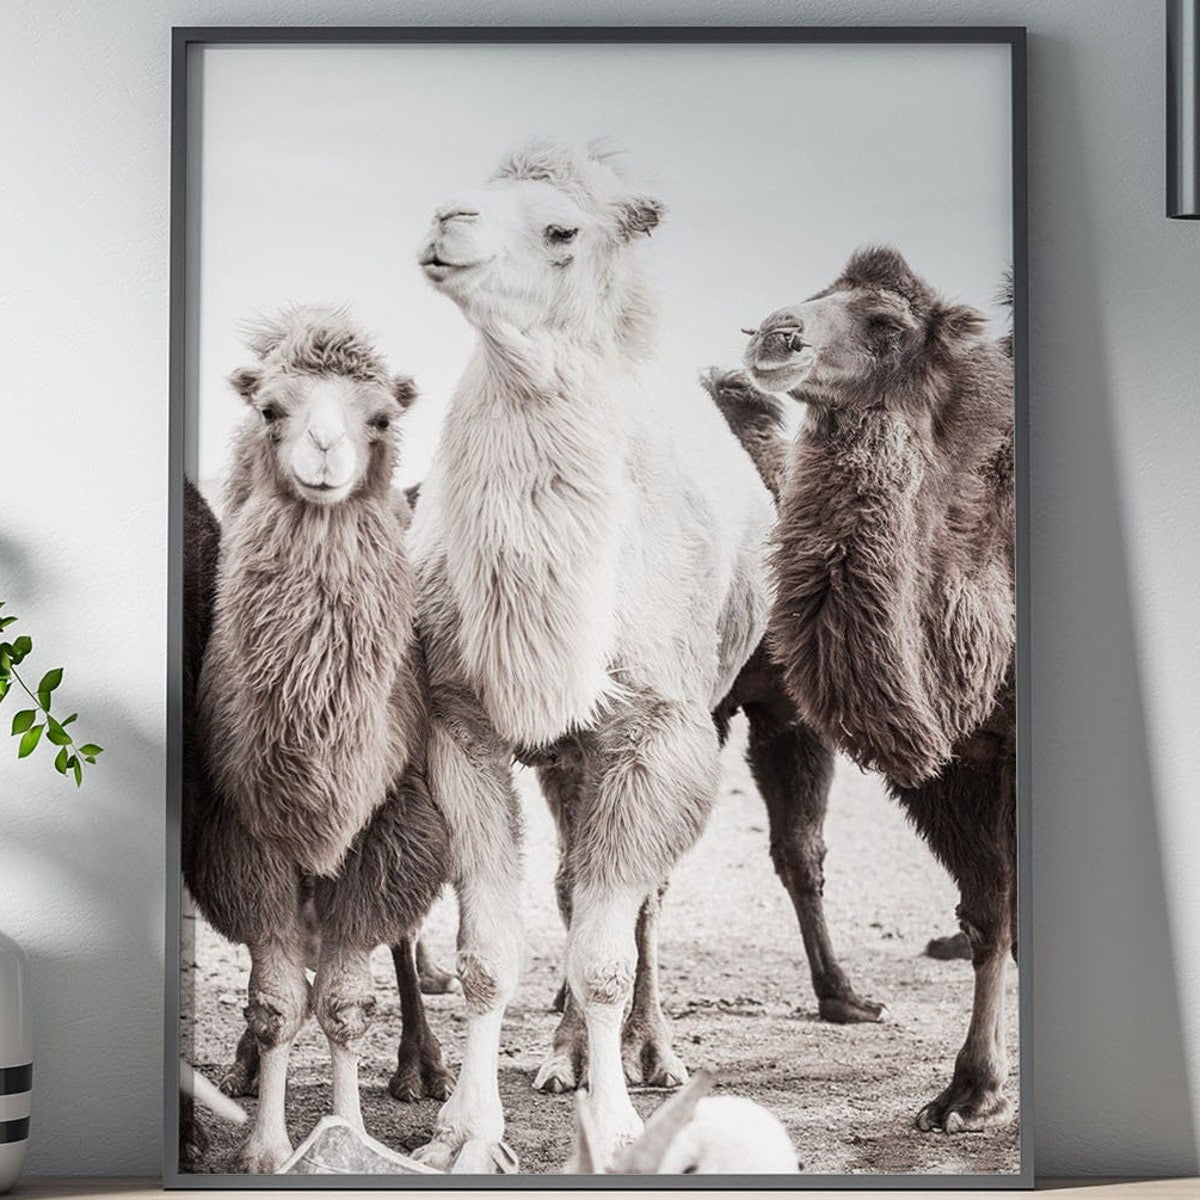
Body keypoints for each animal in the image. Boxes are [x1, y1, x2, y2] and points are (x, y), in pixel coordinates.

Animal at [184, 307, 451, 1172]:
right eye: (273, 409)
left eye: (381, 417)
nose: (327, 450)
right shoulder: (239, 833)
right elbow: (275, 1006)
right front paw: (265, 1148)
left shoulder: (390, 823)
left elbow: (343, 1005)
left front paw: (351, 1134)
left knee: (403, 942)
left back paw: (423, 1068)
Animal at [405, 141, 874, 1171]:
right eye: (474, 192)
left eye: (561, 229)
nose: (446, 220)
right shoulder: (461, 724)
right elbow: (487, 953)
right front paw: (466, 1133)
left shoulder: (657, 730)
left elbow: (610, 955)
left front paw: (618, 1128)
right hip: (570, 755)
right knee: (574, 884)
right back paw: (564, 1056)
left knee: (646, 898)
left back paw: (651, 1054)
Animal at [740, 246, 1017, 1133]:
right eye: (819, 294)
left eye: (887, 324)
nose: (776, 334)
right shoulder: (957, 762)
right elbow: (990, 913)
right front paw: (969, 1092)